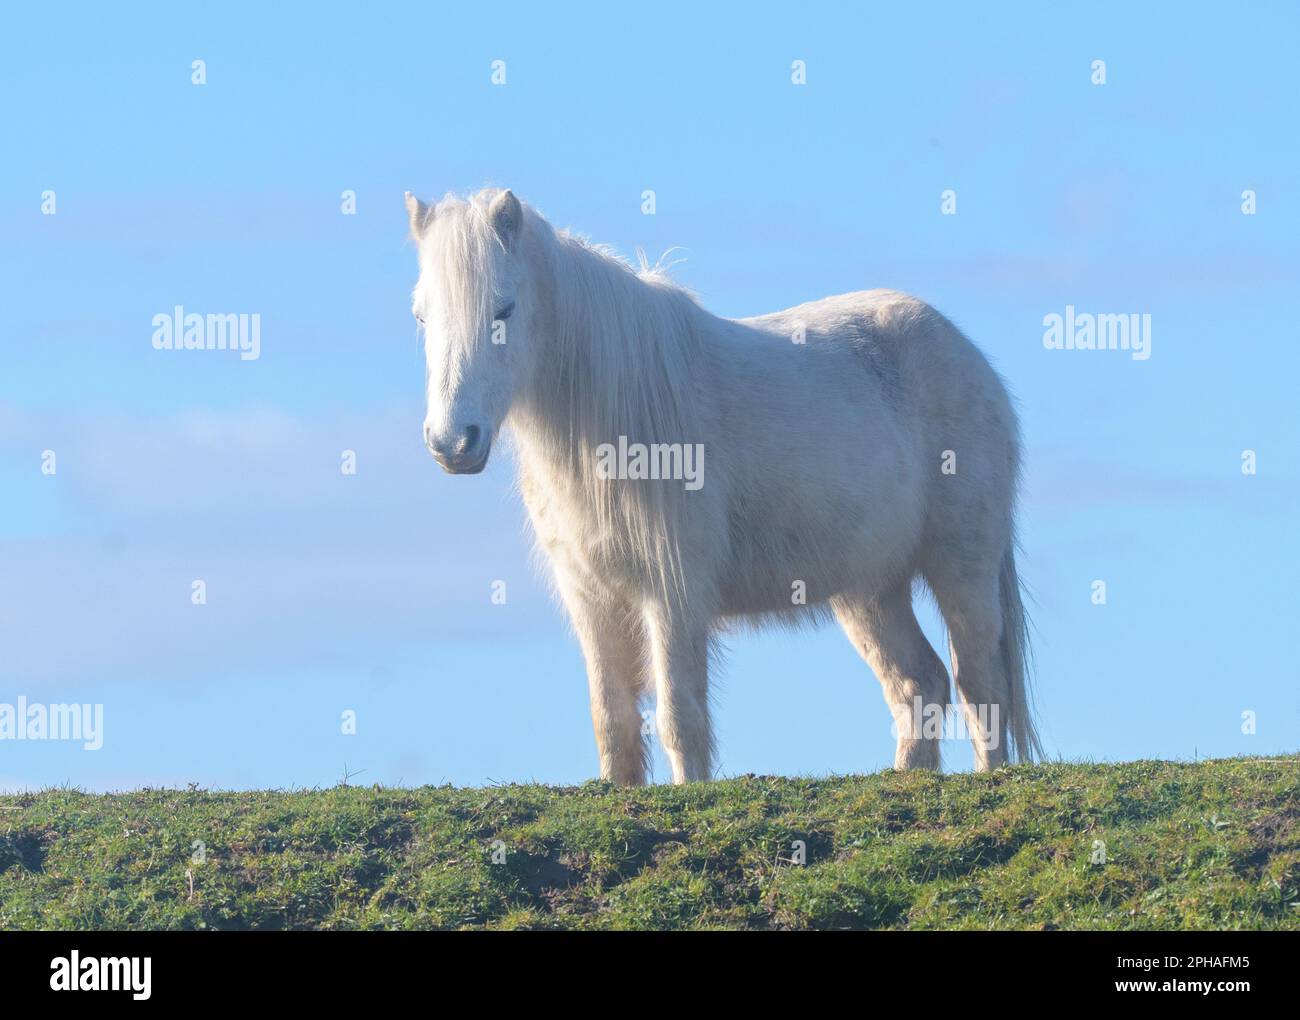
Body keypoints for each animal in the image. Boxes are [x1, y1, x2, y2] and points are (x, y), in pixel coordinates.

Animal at [404, 186, 1042, 784]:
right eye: (421, 316)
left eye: (504, 309)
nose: (453, 442)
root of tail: (965, 352)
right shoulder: (591, 597)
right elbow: (612, 721)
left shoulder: (673, 593)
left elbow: (679, 717)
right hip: (870, 589)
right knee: (918, 683)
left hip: (962, 565)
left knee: (980, 684)